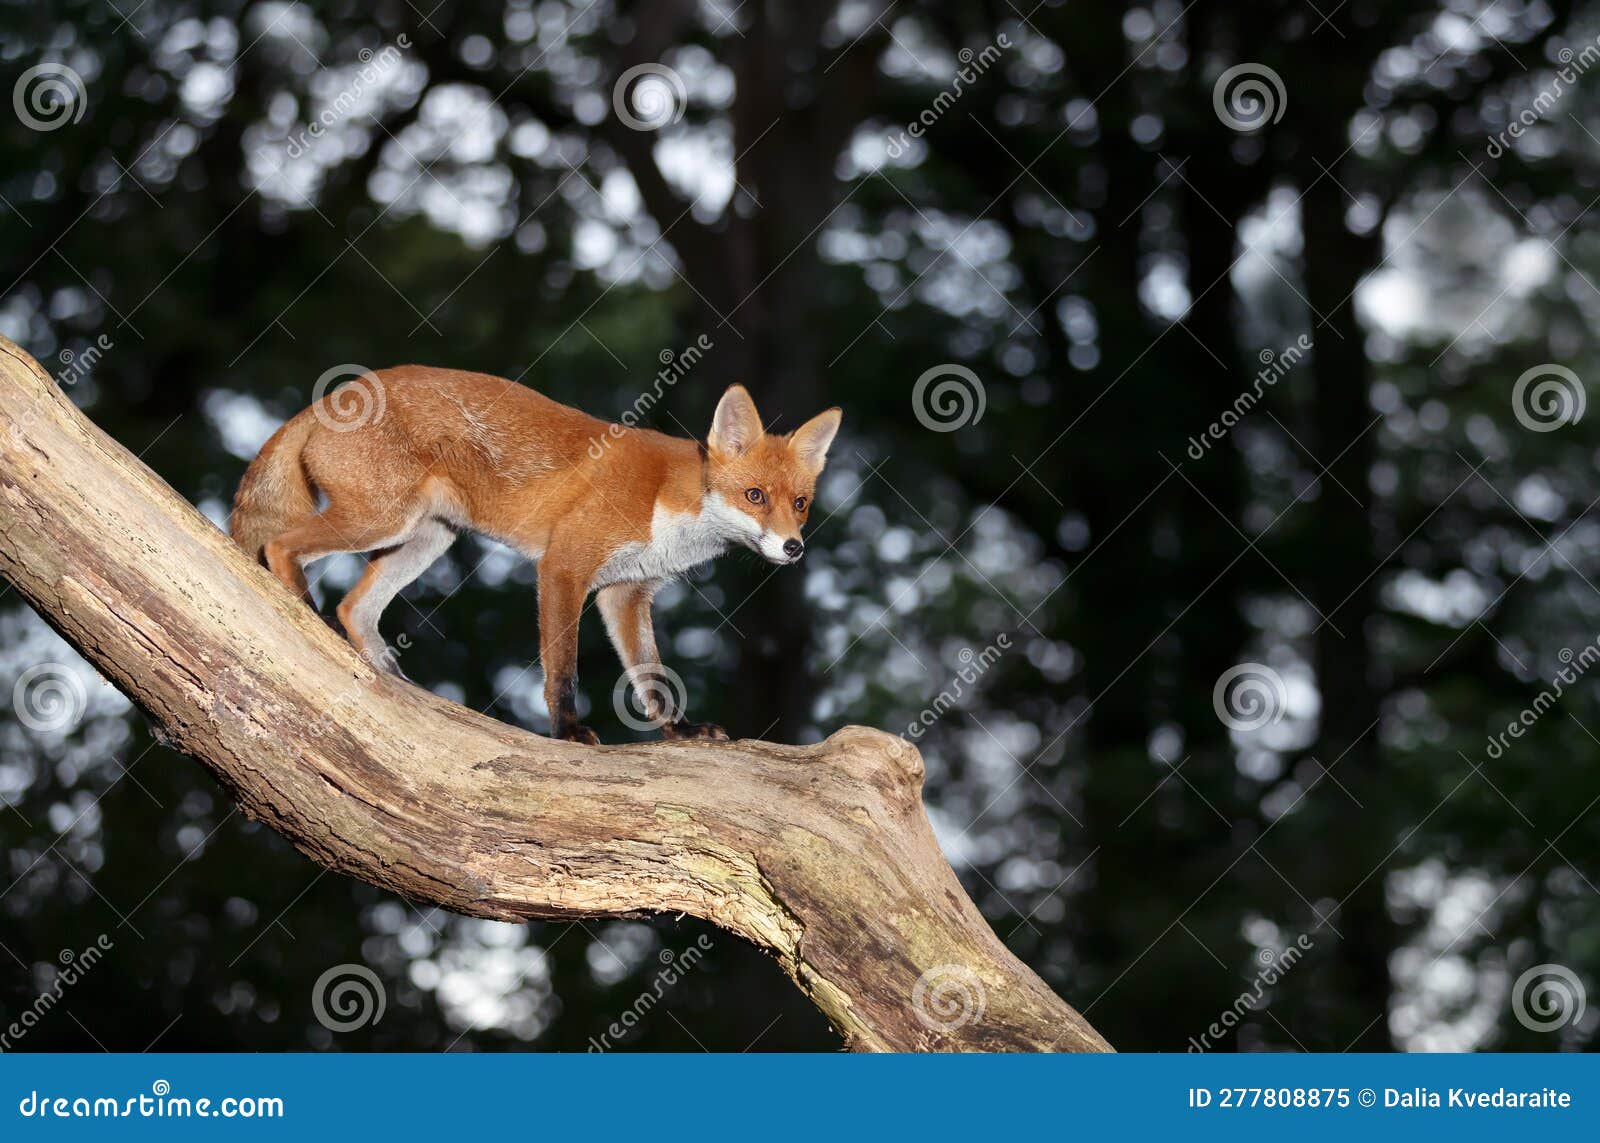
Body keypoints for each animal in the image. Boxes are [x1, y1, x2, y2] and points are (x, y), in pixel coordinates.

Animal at [229, 366, 840, 744]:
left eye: (800, 504)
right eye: (755, 496)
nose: (793, 548)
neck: (670, 503)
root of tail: (326, 400)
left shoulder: (625, 593)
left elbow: (652, 680)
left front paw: (682, 731)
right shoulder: (564, 567)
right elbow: (562, 670)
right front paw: (567, 730)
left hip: (428, 538)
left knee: (354, 606)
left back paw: (389, 675)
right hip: (380, 520)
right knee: (280, 546)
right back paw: (303, 615)